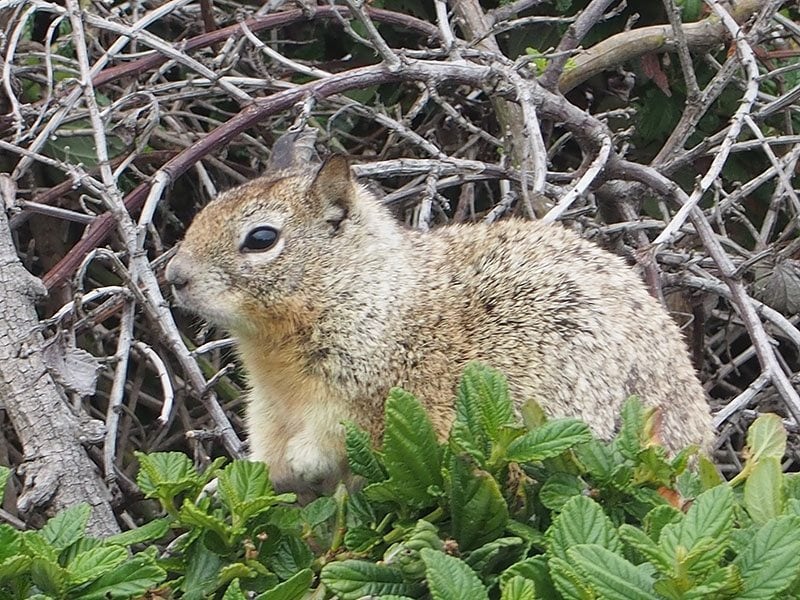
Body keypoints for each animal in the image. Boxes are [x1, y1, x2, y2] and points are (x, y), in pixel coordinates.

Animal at [165, 139, 713, 499]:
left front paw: (300, 463)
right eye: (207, 209)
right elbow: (267, 447)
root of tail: (697, 449)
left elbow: (334, 437)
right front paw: (256, 475)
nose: (173, 276)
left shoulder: (355, 394)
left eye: (261, 238)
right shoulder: (267, 409)